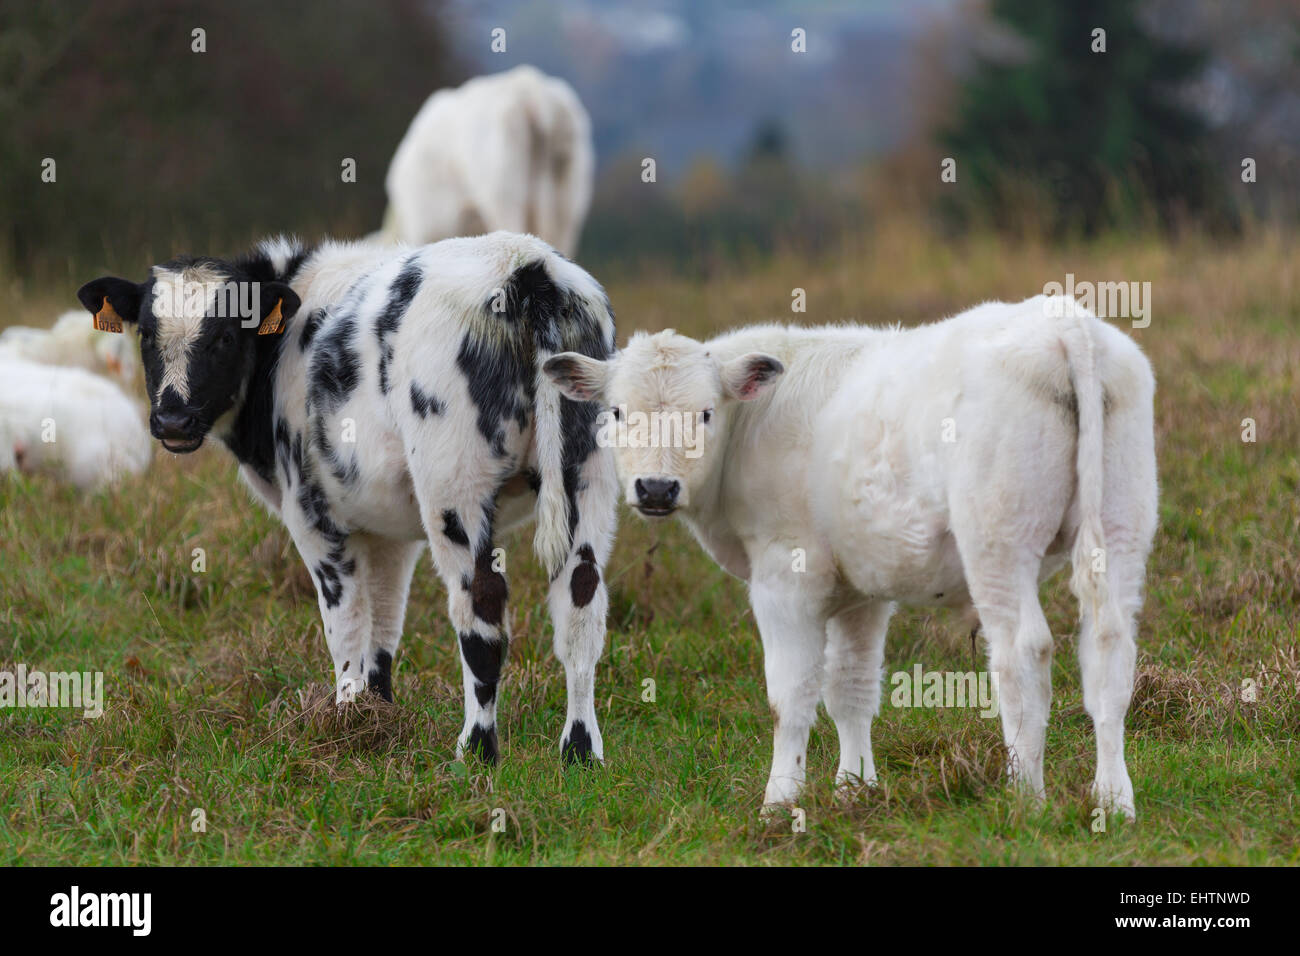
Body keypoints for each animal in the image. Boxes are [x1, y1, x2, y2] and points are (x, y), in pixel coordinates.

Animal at [78, 232, 618, 764]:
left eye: (225, 336)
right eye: (146, 334)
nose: (173, 421)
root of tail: (525, 263)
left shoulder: (312, 518)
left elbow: (347, 626)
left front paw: (344, 722)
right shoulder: (390, 531)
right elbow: (384, 623)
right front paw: (378, 719)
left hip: (455, 488)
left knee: (481, 612)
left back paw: (477, 751)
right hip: (586, 478)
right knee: (582, 605)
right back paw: (579, 752)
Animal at [544, 296, 1158, 817]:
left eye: (705, 414)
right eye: (617, 413)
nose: (655, 488)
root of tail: (1065, 326)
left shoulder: (785, 573)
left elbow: (791, 693)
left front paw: (780, 802)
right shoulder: (862, 587)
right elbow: (851, 688)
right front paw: (855, 788)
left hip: (999, 540)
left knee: (1023, 652)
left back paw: (1024, 798)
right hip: (1122, 523)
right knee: (1109, 650)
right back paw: (1114, 802)